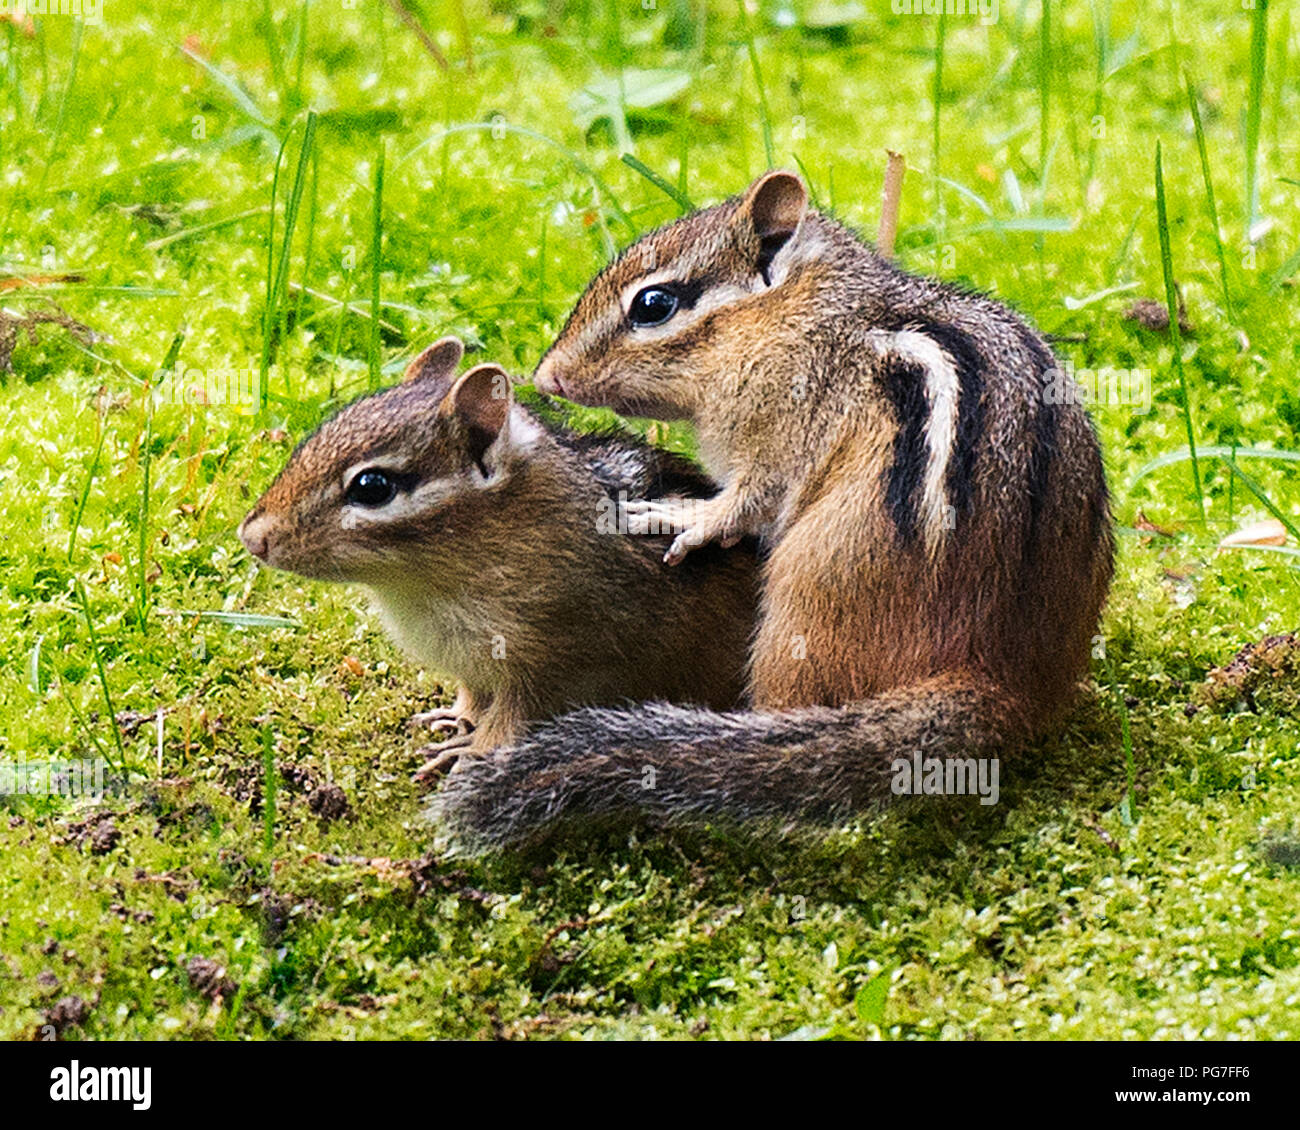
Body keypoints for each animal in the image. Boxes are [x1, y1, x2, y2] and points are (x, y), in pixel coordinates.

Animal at [238, 336, 759, 780]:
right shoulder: (474, 667)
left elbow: (512, 722)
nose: (253, 538)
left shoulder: (558, 667)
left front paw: (471, 749)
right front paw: (455, 719)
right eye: (310, 441)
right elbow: (472, 697)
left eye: (372, 486)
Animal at [430, 170, 1114, 849]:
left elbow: (748, 499)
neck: (801, 310)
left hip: (799, 611)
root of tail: (996, 678)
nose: (547, 377)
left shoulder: (778, 426)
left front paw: (687, 519)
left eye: (653, 305)